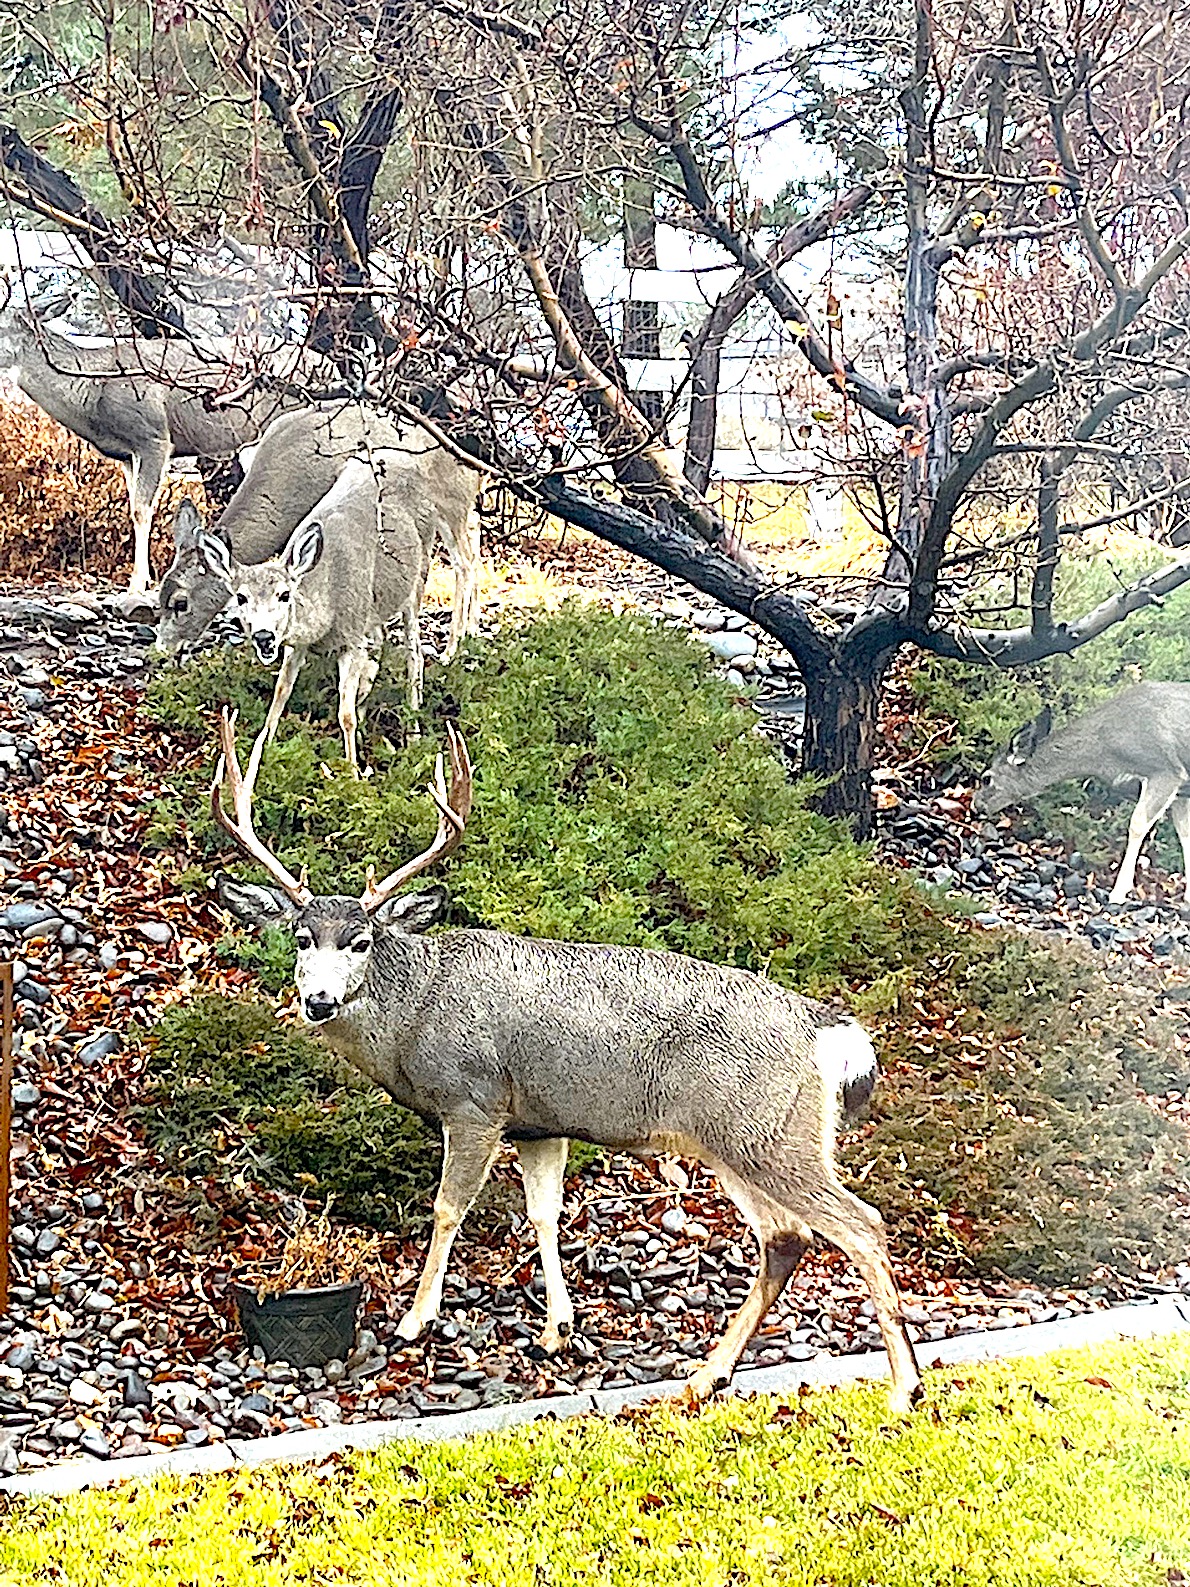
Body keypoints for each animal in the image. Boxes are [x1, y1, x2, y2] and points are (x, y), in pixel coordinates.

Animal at [0, 284, 294, 599]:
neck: (93, 389)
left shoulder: (153, 437)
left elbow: (142, 509)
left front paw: (138, 584)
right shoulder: (127, 455)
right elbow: (133, 509)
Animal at [155, 403, 482, 662]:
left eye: (180, 603)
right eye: (160, 598)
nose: (163, 650)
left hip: (450, 505)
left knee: (464, 562)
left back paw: (451, 649)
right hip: (460, 511)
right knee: (475, 535)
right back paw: (473, 631)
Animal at [193, 448, 430, 771]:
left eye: (284, 595)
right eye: (241, 597)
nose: (264, 636)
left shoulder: (351, 636)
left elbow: (345, 714)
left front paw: (352, 769)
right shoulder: (297, 645)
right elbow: (281, 691)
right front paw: (264, 746)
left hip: (418, 576)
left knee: (414, 653)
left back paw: (413, 733)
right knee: (379, 641)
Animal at [210, 709, 923, 1414]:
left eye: (360, 941)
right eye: (301, 937)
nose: (319, 1000)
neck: (415, 1012)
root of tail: (828, 1033)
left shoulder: (475, 1102)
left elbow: (447, 1209)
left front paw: (415, 1320)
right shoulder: (538, 1123)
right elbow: (544, 1214)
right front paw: (557, 1330)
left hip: (769, 1134)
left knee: (861, 1226)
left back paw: (902, 1388)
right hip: (741, 1140)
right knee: (786, 1238)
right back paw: (704, 1378)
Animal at [973, 681, 1190, 904]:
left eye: (987, 778)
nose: (976, 804)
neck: (1105, 750)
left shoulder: (1166, 771)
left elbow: (1137, 824)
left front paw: (1118, 892)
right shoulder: (1182, 790)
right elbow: (1184, 832)